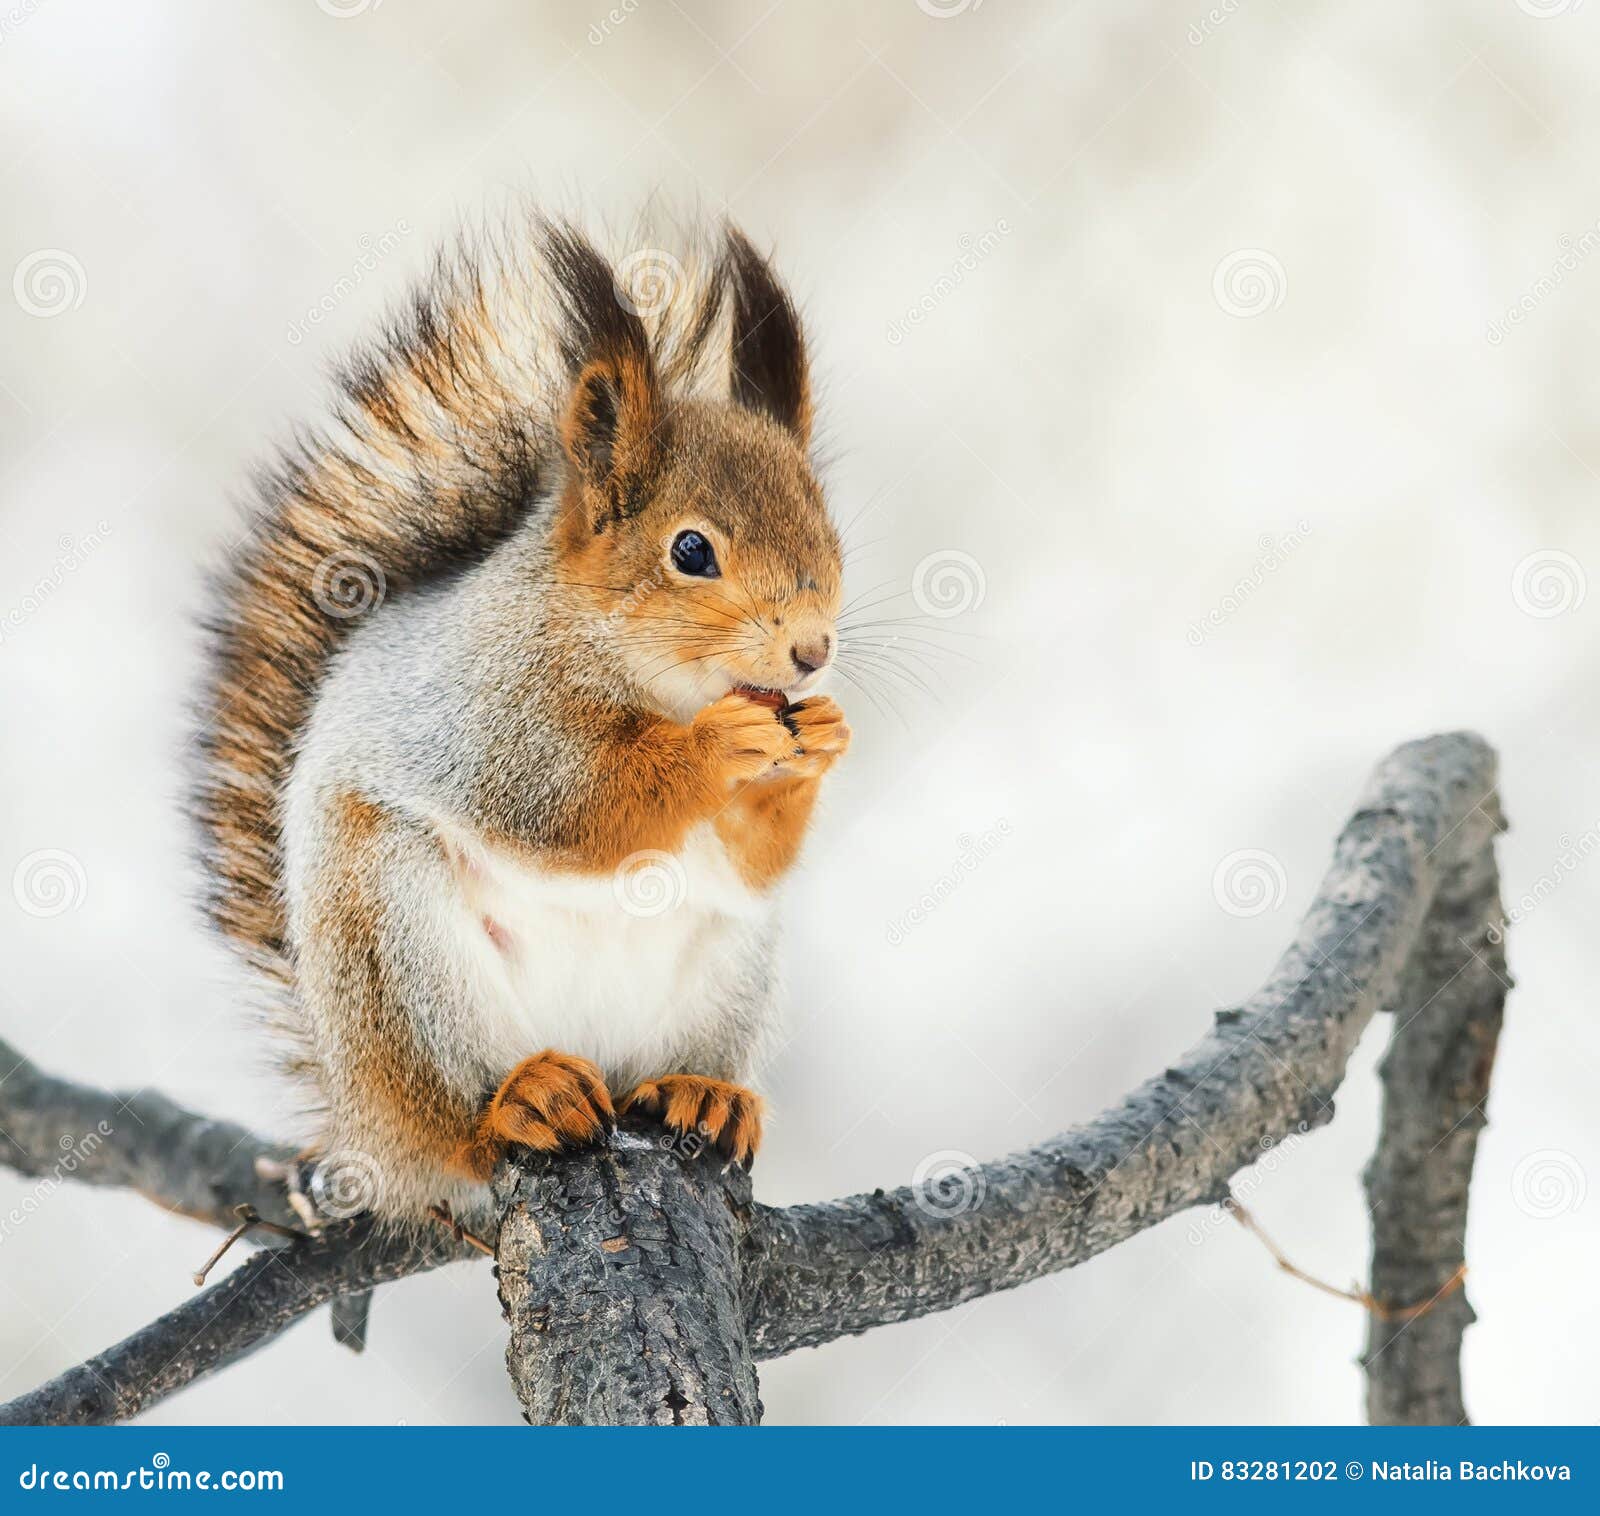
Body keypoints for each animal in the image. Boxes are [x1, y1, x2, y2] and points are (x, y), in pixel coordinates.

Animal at [194, 215, 849, 1224]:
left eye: (830, 530)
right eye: (691, 550)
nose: (813, 651)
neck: (658, 683)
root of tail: (363, 1123)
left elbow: (751, 858)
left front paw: (818, 744)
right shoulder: (494, 718)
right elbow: (575, 808)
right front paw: (715, 746)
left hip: (728, 970)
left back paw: (702, 1092)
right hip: (395, 952)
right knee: (453, 1123)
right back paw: (518, 1102)